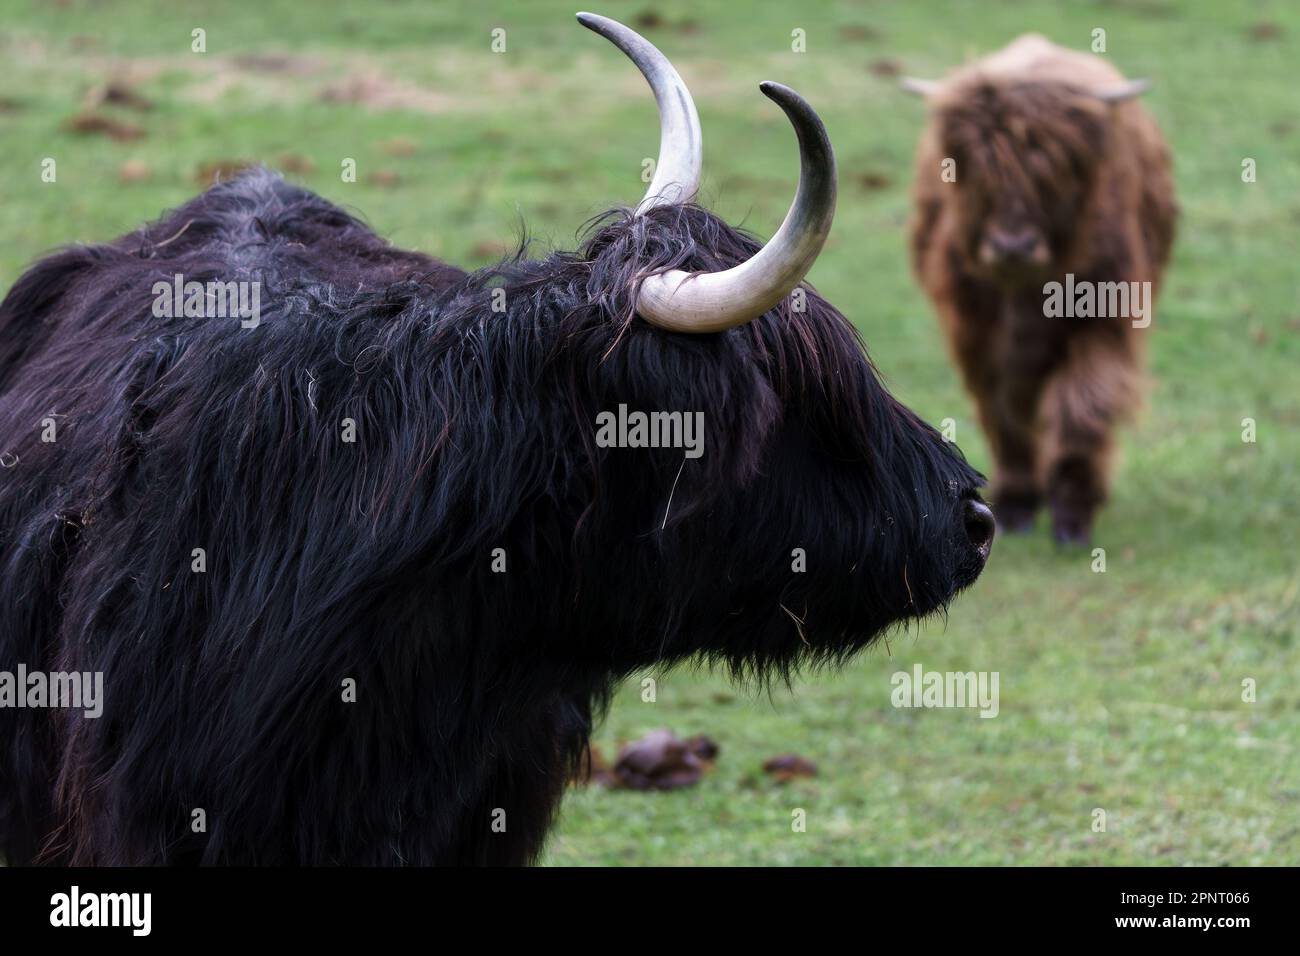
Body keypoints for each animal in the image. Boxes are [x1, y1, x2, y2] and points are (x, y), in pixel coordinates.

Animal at [905, 34, 1177, 545]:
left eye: (1058, 169)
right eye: (971, 165)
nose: (1012, 247)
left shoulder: (1104, 321)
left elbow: (1084, 405)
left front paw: (1073, 514)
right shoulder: (973, 332)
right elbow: (1001, 409)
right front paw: (1017, 504)